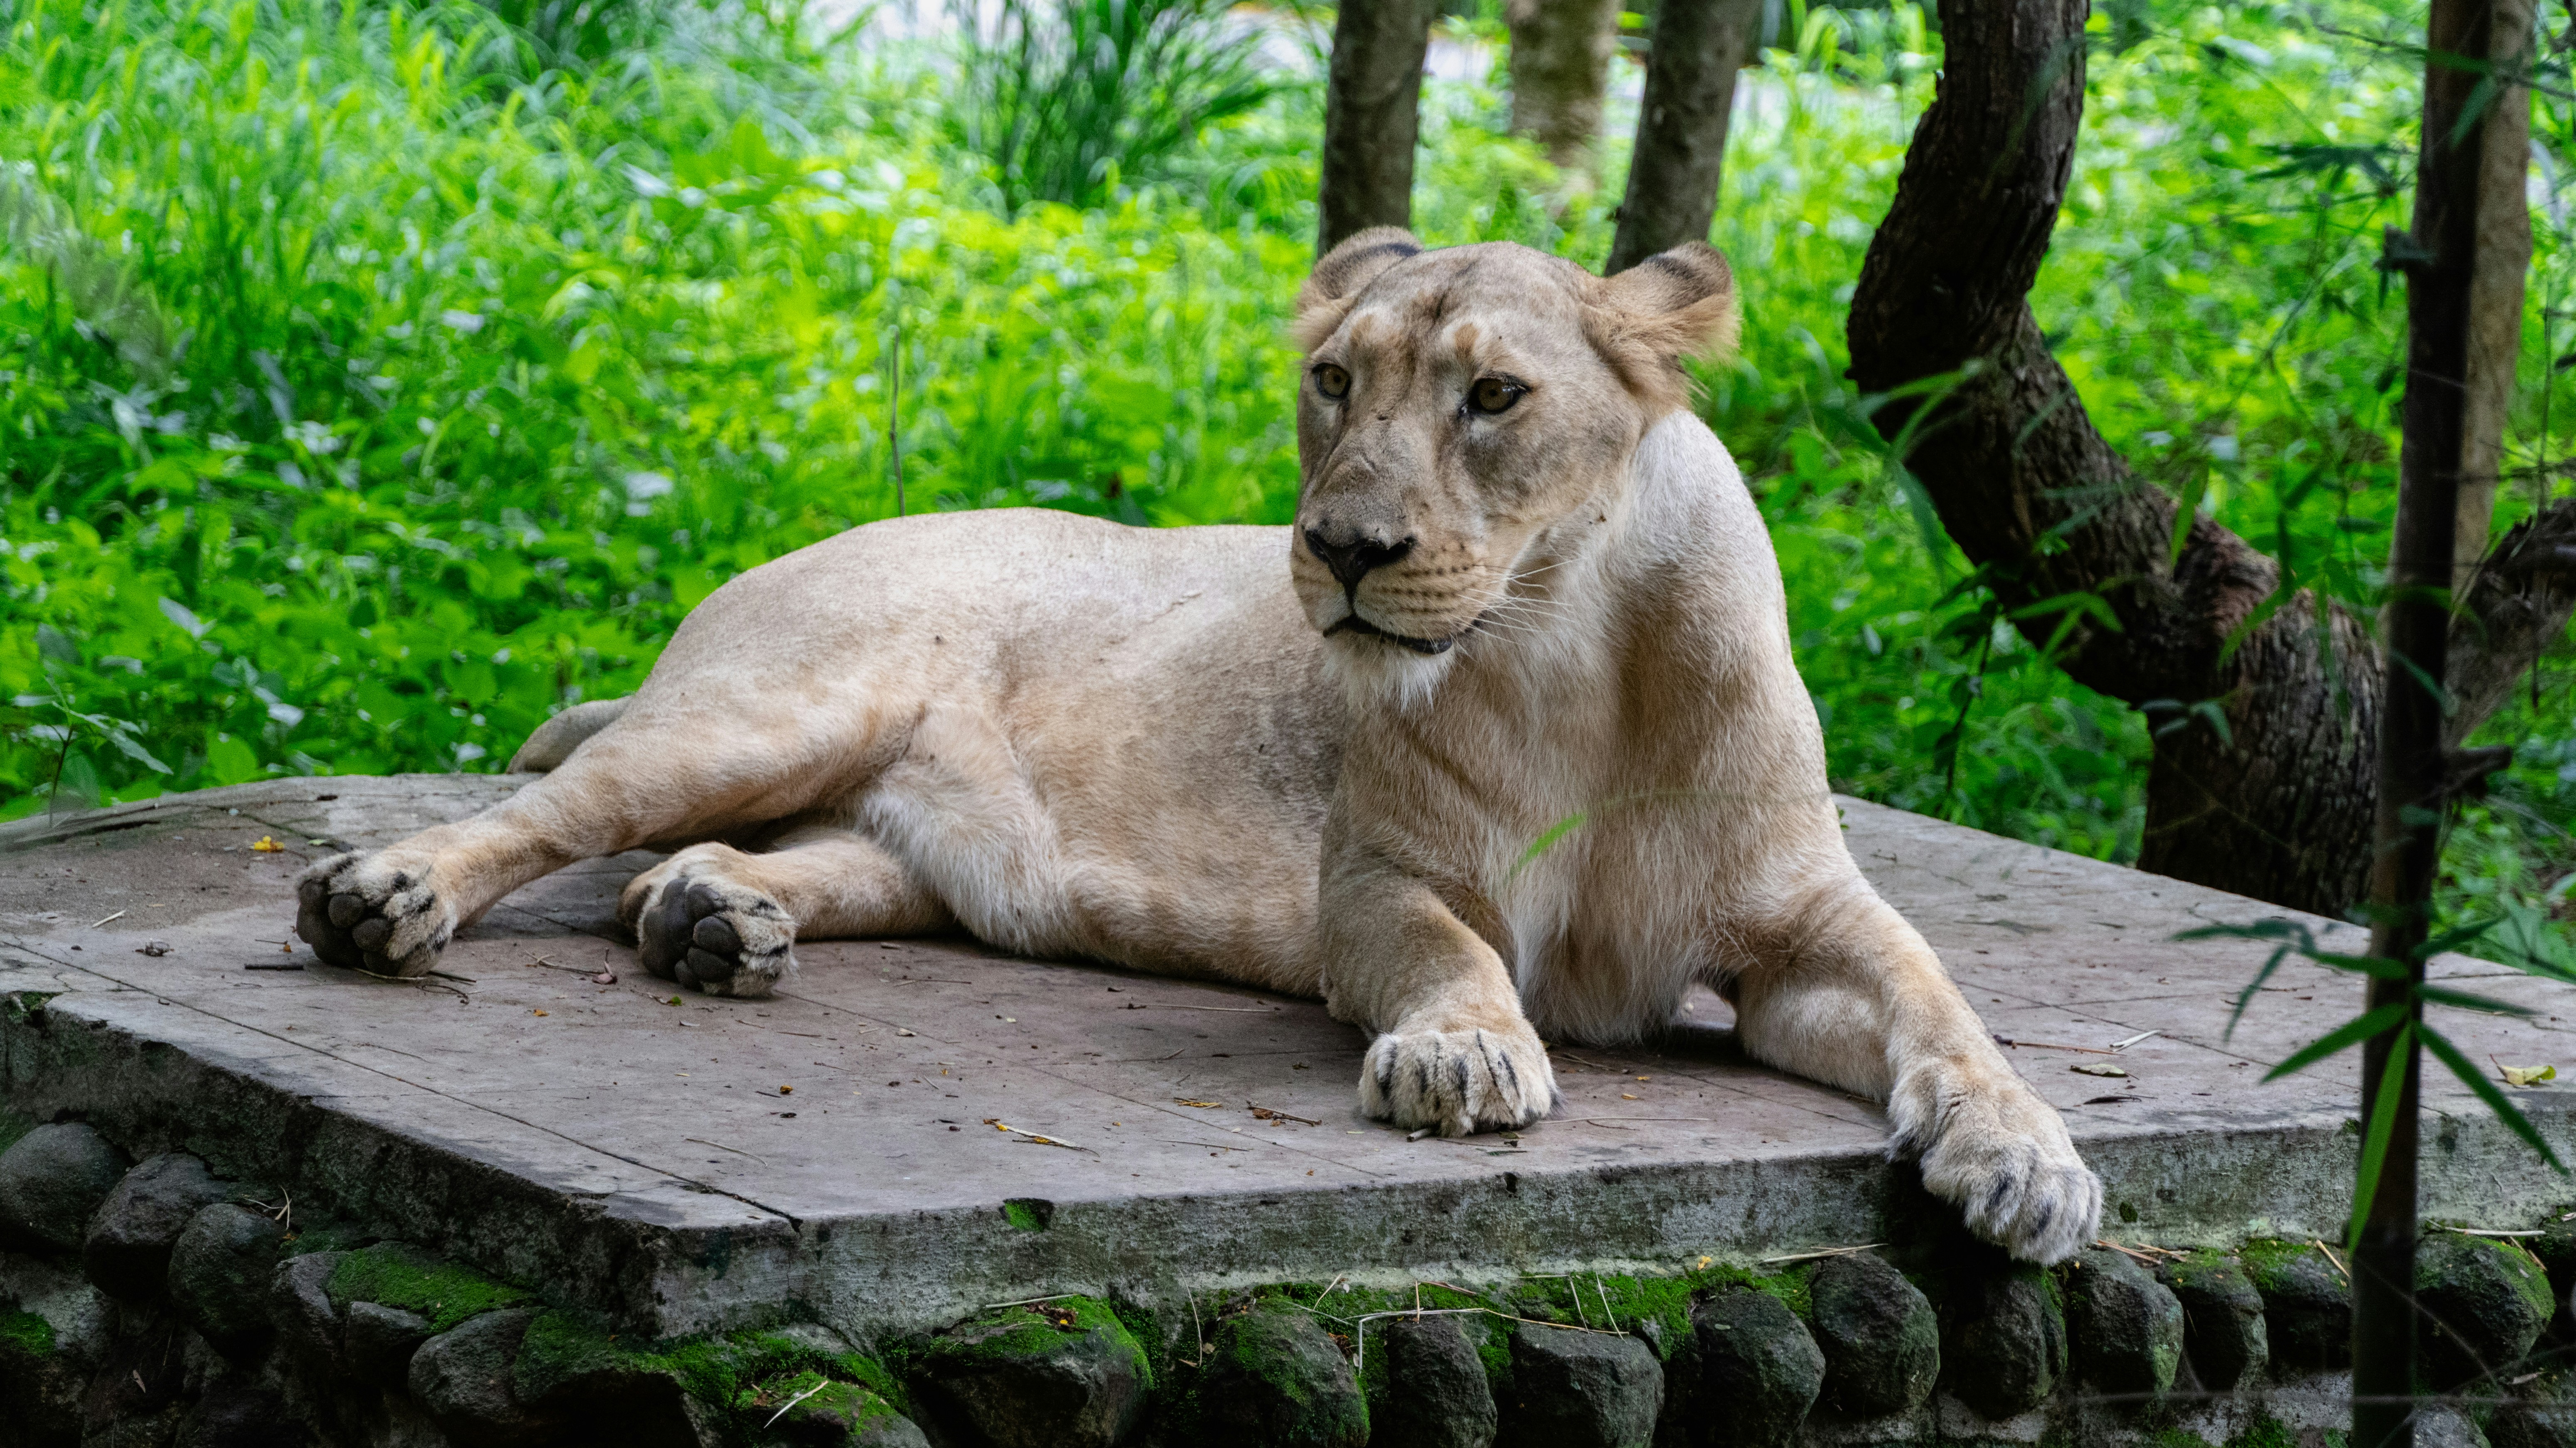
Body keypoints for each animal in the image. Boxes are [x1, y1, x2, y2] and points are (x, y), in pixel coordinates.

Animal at [295, 232, 2101, 1263]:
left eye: (1495, 398)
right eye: (1336, 381)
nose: (1347, 550)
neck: (1559, 646)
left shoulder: (1805, 922)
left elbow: (1947, 1008)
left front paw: (2029, 1164)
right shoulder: (1371, 888)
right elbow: (1458, 958)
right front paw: (1464, 1060)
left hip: (914, 856)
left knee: (702, 870)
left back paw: (711, 922)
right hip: (767, 712)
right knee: (551, 816)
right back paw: (377, 898)